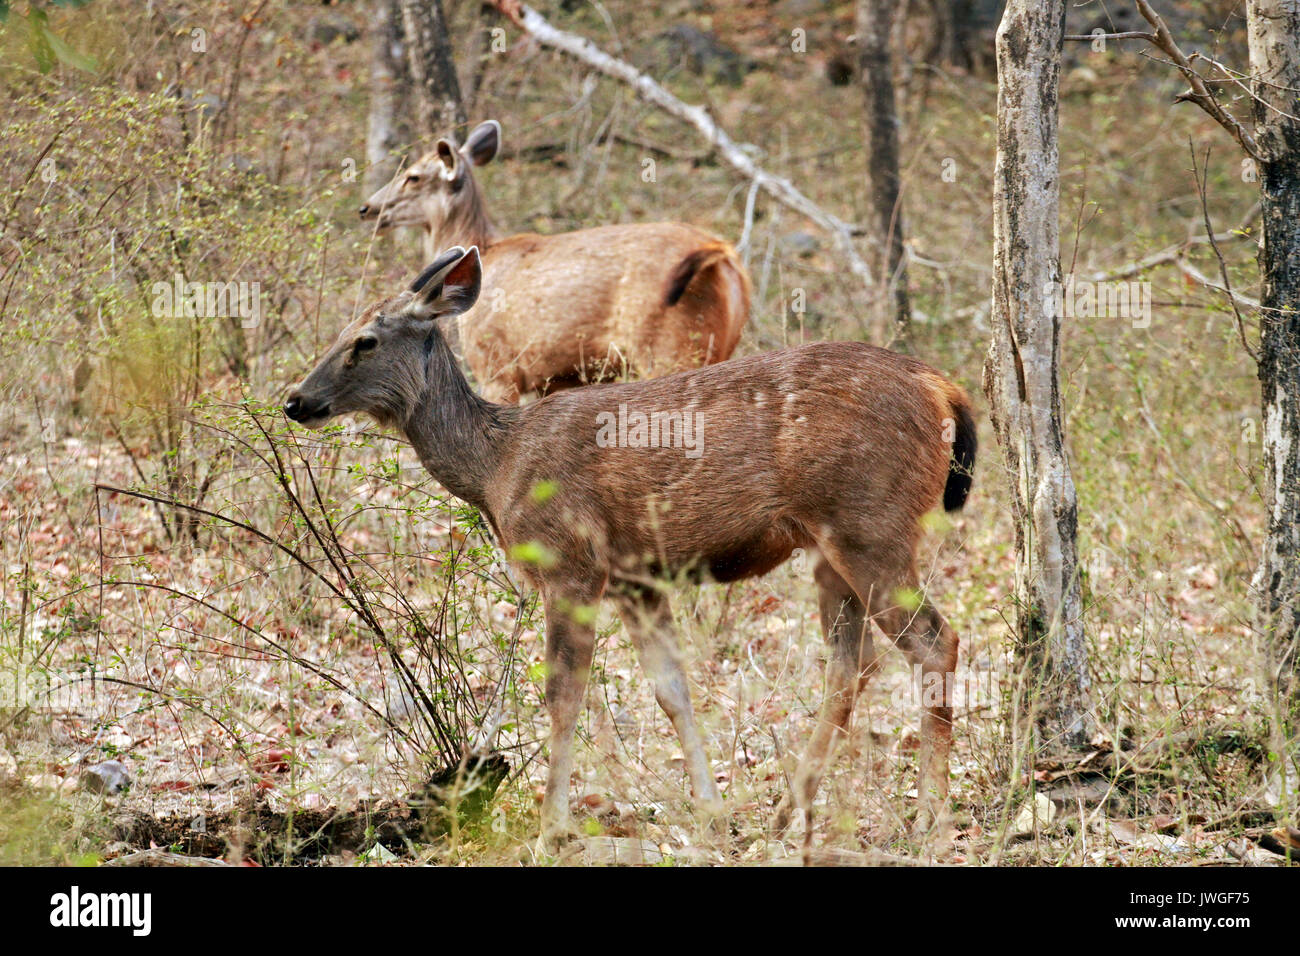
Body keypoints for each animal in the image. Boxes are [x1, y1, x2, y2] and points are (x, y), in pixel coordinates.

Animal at [284, 246, 977, 849]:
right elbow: (672, 690)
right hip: (832, 546)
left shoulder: (570, 561)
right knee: (852, 662)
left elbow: (564, 693)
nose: (295, 400)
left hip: (870, 524)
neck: (496, 466)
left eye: (365, 340)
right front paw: (711, 814)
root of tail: (943, 387)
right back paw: (789, 811)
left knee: (934, 642)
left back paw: (929, 820)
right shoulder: (635, 579)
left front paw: (552, 828)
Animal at [359, 120, 751, 404]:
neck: (485, 250)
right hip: (718, 344)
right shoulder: (557, 378)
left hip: (672, 347)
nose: (367, 207)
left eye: (413, 176)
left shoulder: (497, 366)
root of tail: (721, 253)